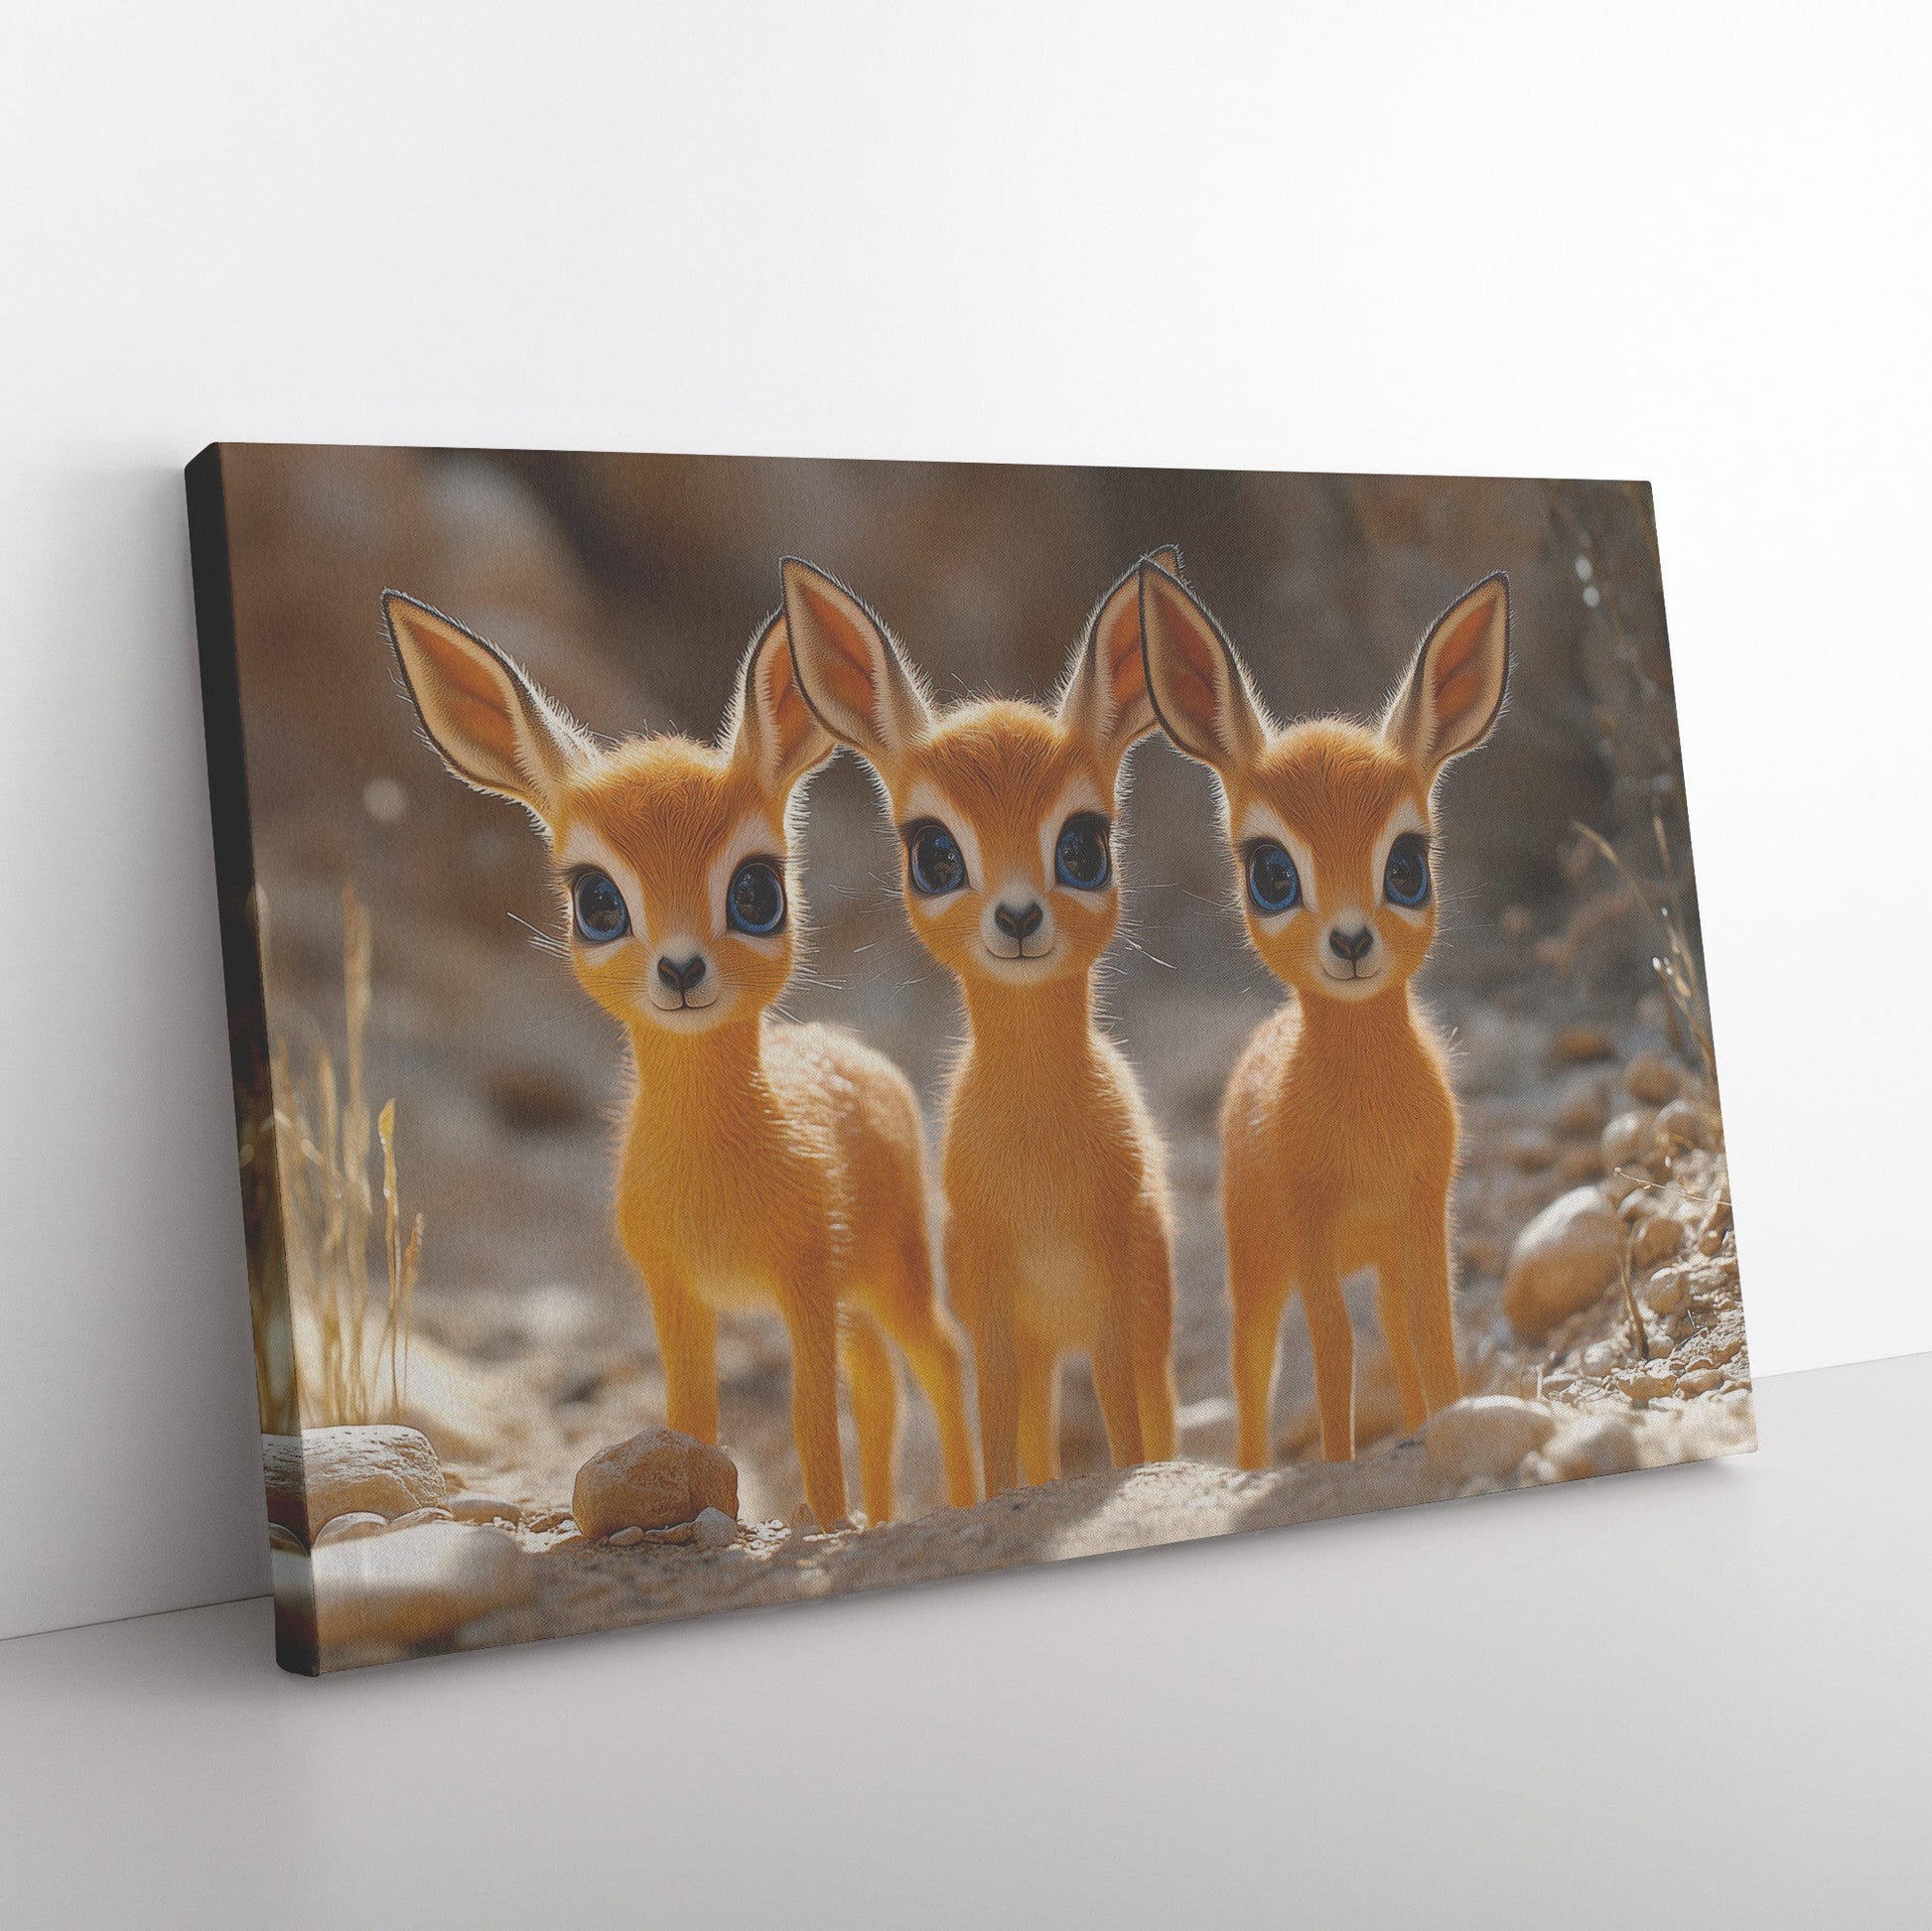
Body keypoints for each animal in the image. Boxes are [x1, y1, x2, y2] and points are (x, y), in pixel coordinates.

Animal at [382, 590, 978, 1528]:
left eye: (756, 888)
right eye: (597, 899)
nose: (682, 969)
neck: (715, 1168)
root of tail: (848, 1048)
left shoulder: (802, 1282)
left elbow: (812, 1417)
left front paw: (822, 1523)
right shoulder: (680, 1293)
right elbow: (694, 1414)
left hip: (892, 1268)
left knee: (937, 1358)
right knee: (879, 1377)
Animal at [781, 553, 1179, 1496]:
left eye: (1084, 843)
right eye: (934, 850)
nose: (1020, 916)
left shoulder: (1116, 1289)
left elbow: (1123, 1403)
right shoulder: (996, 1302)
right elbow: (996, 1409)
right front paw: (1003, 1498)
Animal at [1136, 559, 1510, 1467]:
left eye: (1407, 863)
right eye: (1272, 872)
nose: (1350, 939)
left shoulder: (1421, 1214)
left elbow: (1432, 1328)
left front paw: (1451, 1425)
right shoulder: (1310, 1227)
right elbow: (1331, 1345)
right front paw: (1339, 1463)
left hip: (1372, 1253)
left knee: (1391, 1327)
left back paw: (1412, 1428)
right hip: (1259, 1254)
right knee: (1255, 1359)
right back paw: (1252, 1464)